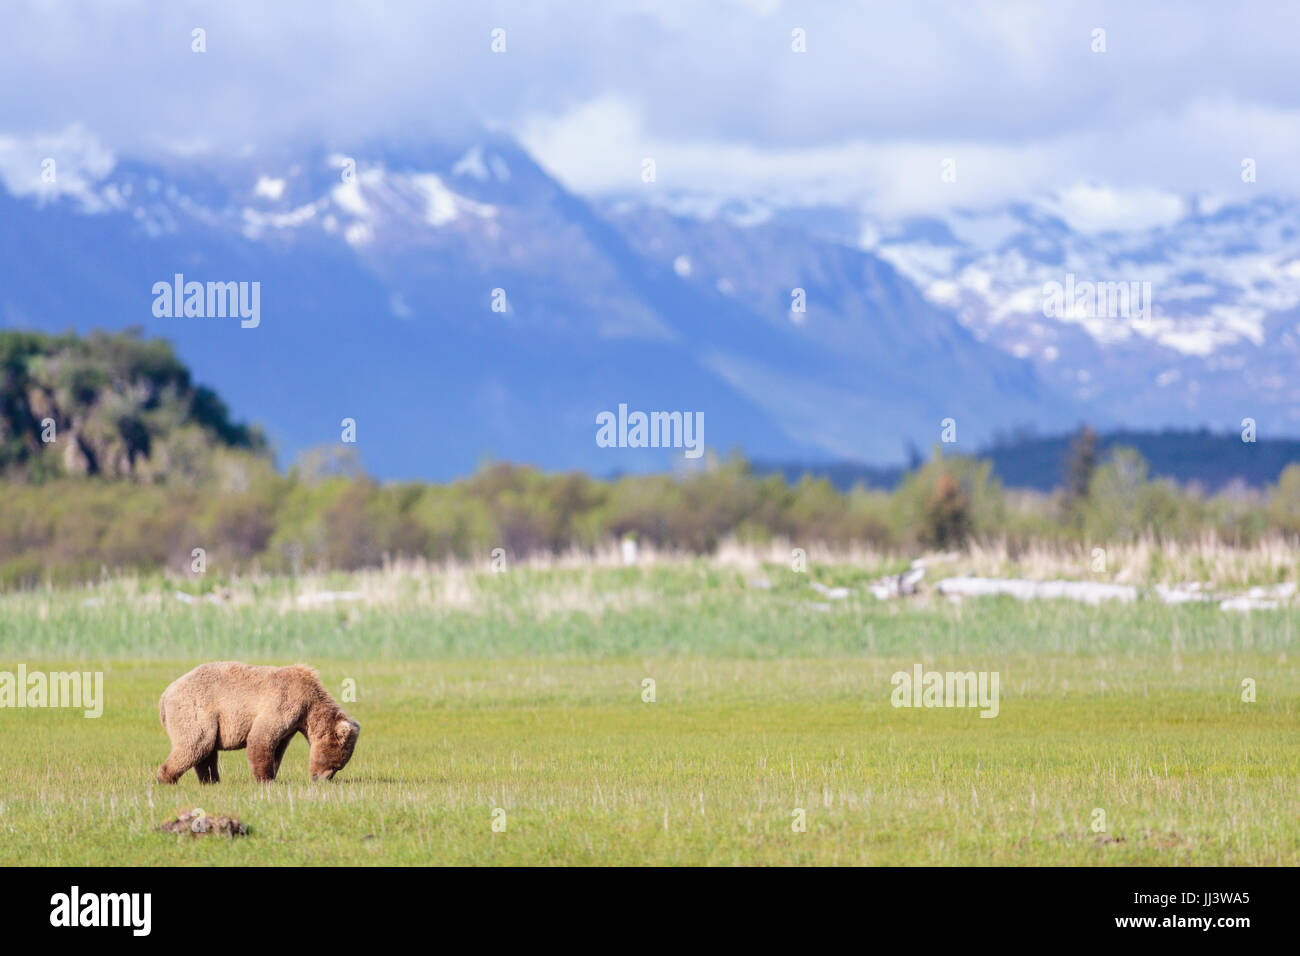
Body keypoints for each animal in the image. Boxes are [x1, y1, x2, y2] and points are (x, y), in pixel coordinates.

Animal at [157, 662, 359, 784]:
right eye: (335, 765)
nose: (321, 779)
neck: (309, 709)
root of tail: (165, 694)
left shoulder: (291, 726)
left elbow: (277, 748)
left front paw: (272, 773)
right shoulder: (284, 702)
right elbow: (261, 737)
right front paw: (265, 778)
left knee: (206, 750)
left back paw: (211, 781)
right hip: (195, 709)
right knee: (197, 743)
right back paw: (165, 777)